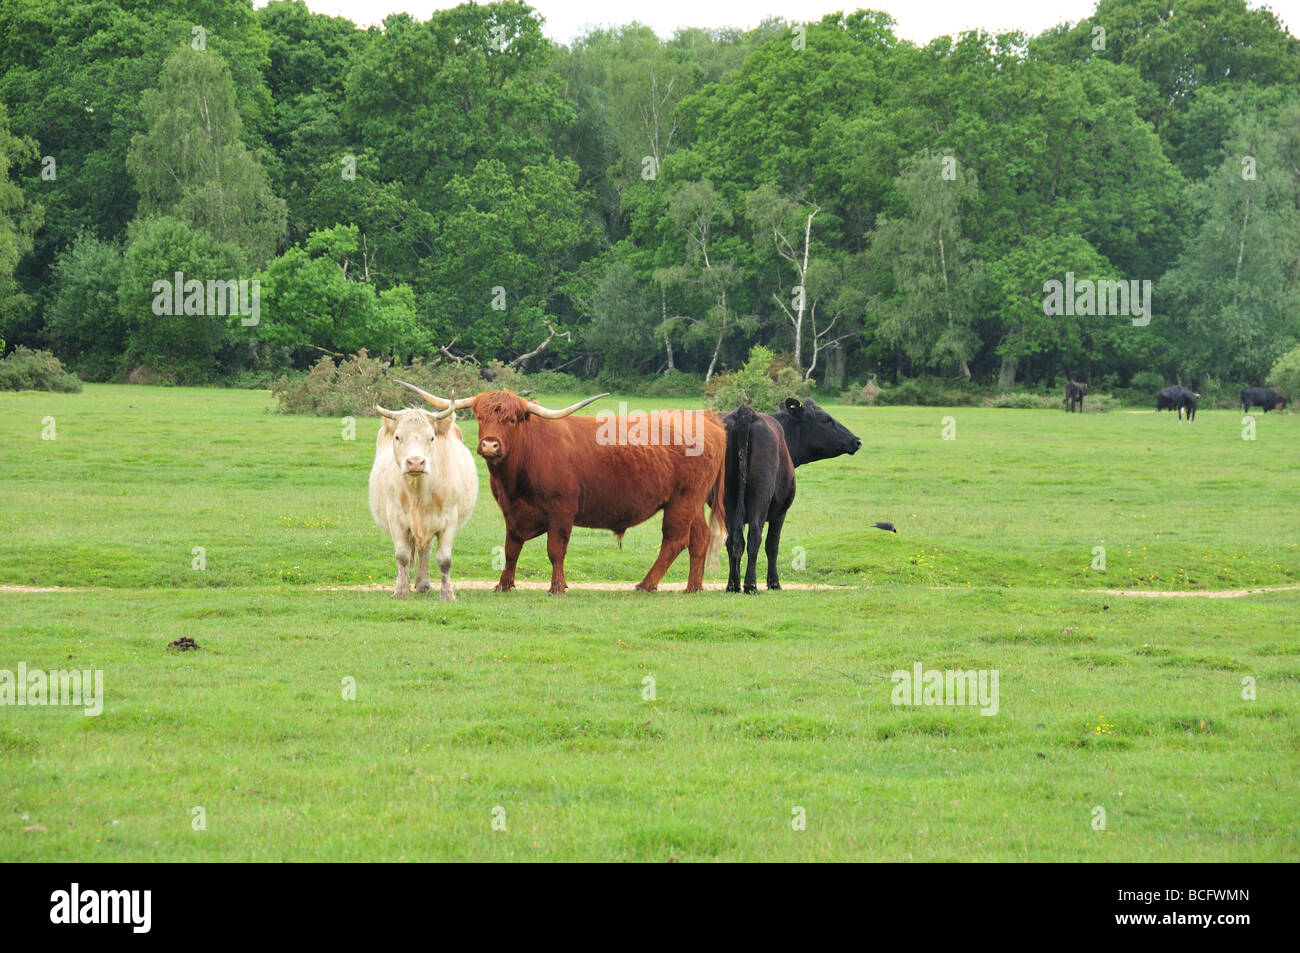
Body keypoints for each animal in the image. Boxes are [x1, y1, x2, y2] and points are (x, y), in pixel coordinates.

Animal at [368, 401, 478, 600]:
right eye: (397, 437)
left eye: (432, 438)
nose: (415, 462)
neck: (418, 491)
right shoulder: (395, 519)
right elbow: (402, 556)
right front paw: (401, 591)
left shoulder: (449, 520)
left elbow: (444, 559)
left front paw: (448, 594)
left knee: (426, 549)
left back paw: (423, 583)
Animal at [395, 381, 728, 595]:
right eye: (480, 416)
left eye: (512, 419)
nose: (490, 445)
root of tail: (706, 418)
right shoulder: (511, 512)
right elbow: (511, 549)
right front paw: (504, 584)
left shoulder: (561, 511)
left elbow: (555, 550)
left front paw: (557, 586)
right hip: (692, 502)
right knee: (699, 537)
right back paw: (693, 587)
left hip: (682, 501)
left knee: (674, 541)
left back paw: (647, 584)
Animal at [720, 397, 861, 594]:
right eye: (827, 419)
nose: (857, 441)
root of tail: (746, 413)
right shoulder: (780, 512)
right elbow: (772, 545)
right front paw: (774, 583)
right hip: (760, 497)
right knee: (754, 537)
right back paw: (751, 585)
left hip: (727, 501)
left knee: (733, 539)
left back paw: (732, 585)